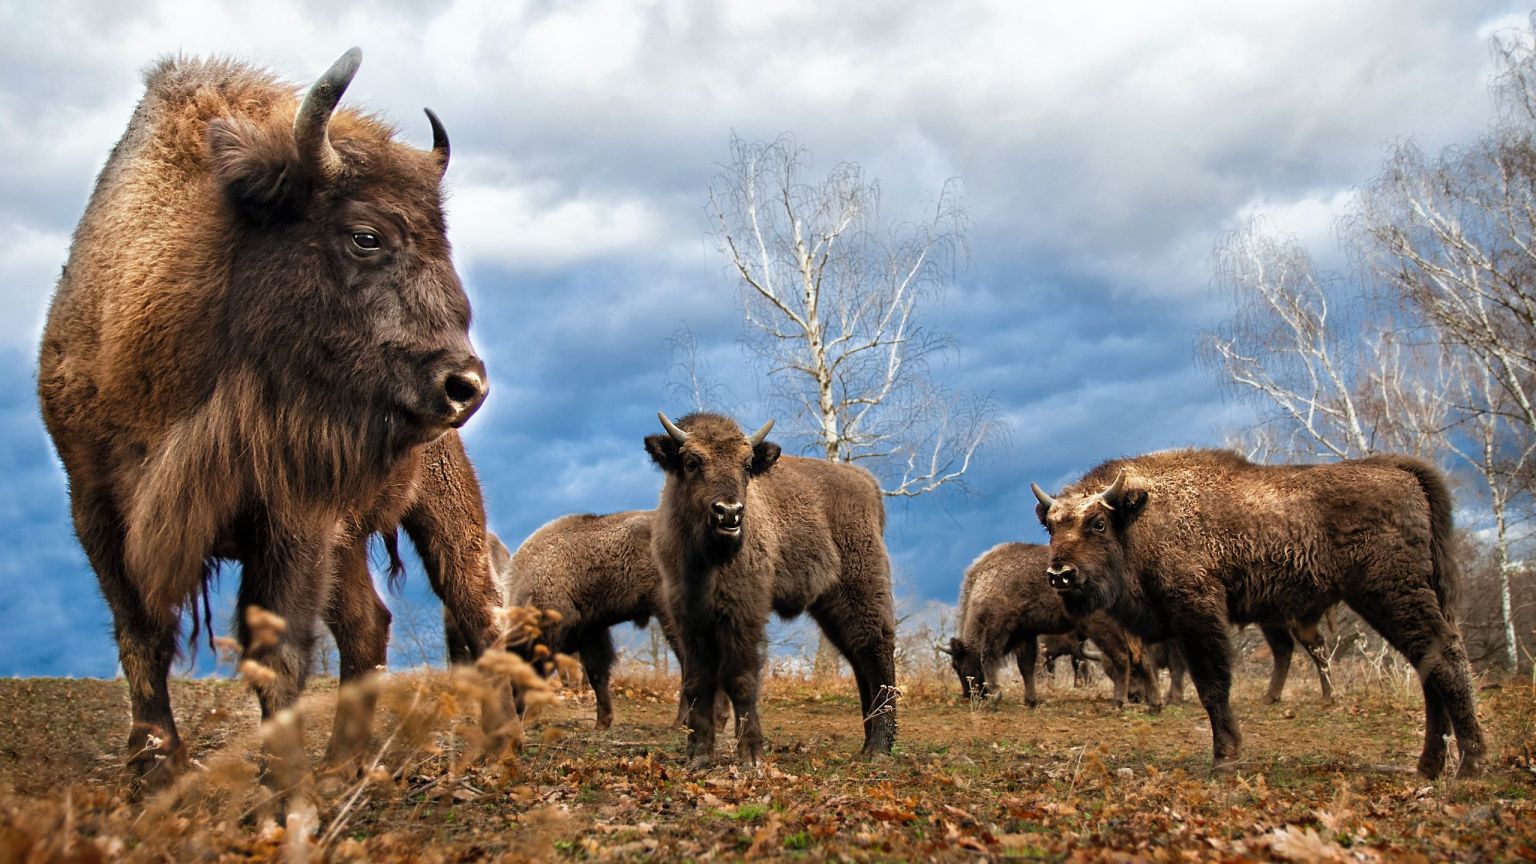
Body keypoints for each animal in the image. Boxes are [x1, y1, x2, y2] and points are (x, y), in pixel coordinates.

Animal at [37, 50, 499, 793]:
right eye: (366, 236)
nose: (466, 386)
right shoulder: (98, 506)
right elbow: (141, 635)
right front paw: (155, 766)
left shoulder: (292, 516)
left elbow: (277, 652)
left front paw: (282, 785)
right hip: (351, 539)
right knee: (368, 622)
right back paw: (345, 761)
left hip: (443, 511)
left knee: (478, 608)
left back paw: (499, 746)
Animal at [646, 412, 898, 766]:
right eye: (692, 461)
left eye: (747, 464)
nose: (729, 512)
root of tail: (866, 483)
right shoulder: (688, 618)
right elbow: (696, 683)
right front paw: (698, 755)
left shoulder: (744, 614)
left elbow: (740, 679)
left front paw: (751, 756)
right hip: (831, 607)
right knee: (859, 657)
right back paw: (866, 745)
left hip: (861, 591)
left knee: (877, 650)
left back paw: (879, 748)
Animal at [1032, 449, 1485, 778]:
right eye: (1051, 527)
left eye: (1098, 523)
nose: (1060, 574)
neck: (1140, 518)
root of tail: (1402, 471)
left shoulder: (1198, 614)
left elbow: (1213, 687)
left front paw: (1224, 759)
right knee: (1430, 667)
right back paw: (1429, 766)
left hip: (1390, 595)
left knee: (1444, 659)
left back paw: (1470, 765)